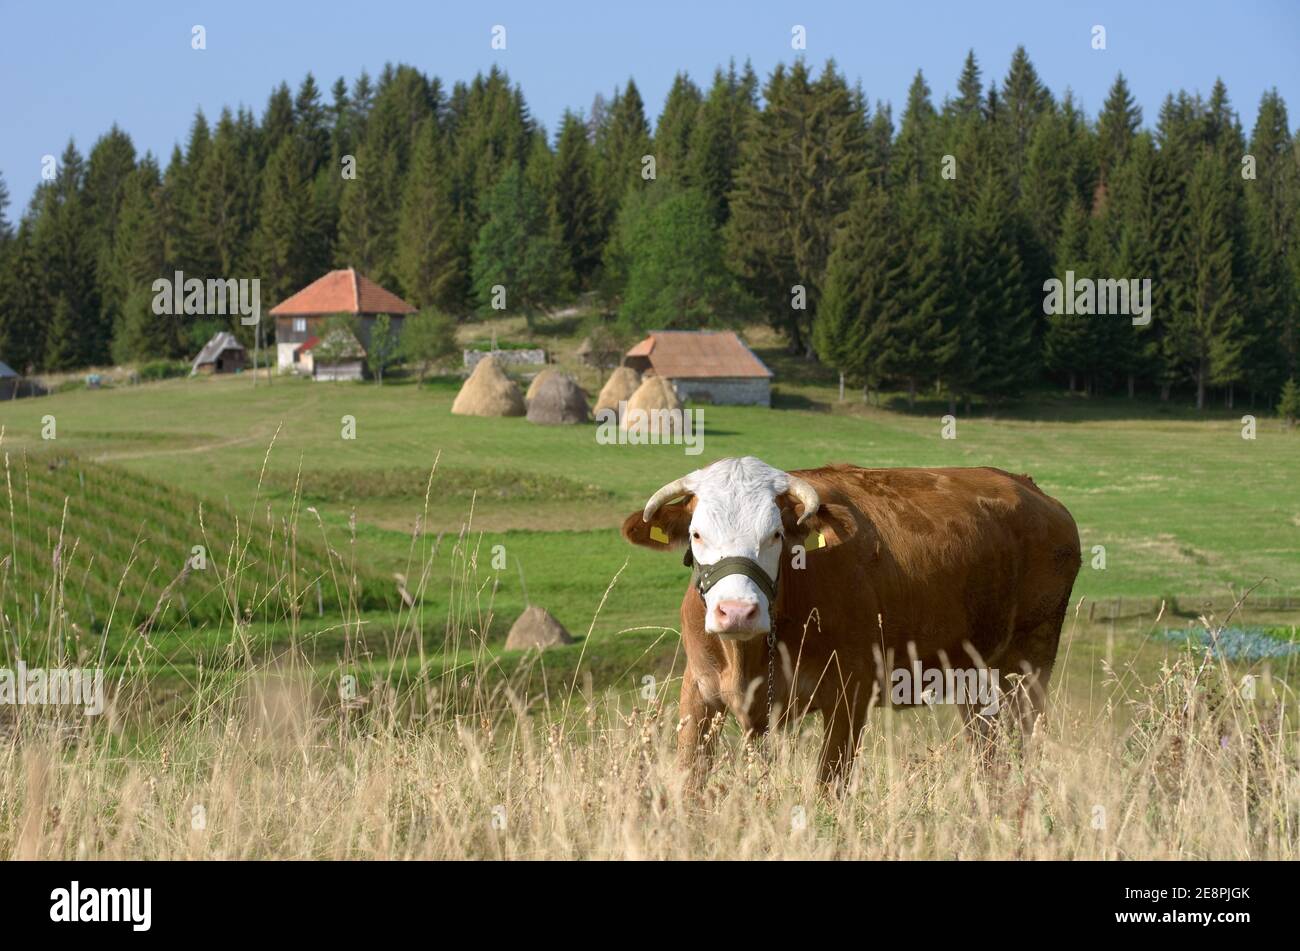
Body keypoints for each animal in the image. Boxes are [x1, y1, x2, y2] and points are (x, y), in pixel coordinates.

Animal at [621, 456, 1081, 786]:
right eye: (697, 534)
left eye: (775, 535)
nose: (736, 611)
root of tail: (1027, 487)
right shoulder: (698, 693)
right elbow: (690, 782)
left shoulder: (849, 695)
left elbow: (828, 788)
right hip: (972, 678)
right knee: (988, 751)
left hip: (1029, 666)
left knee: (1027, 743)